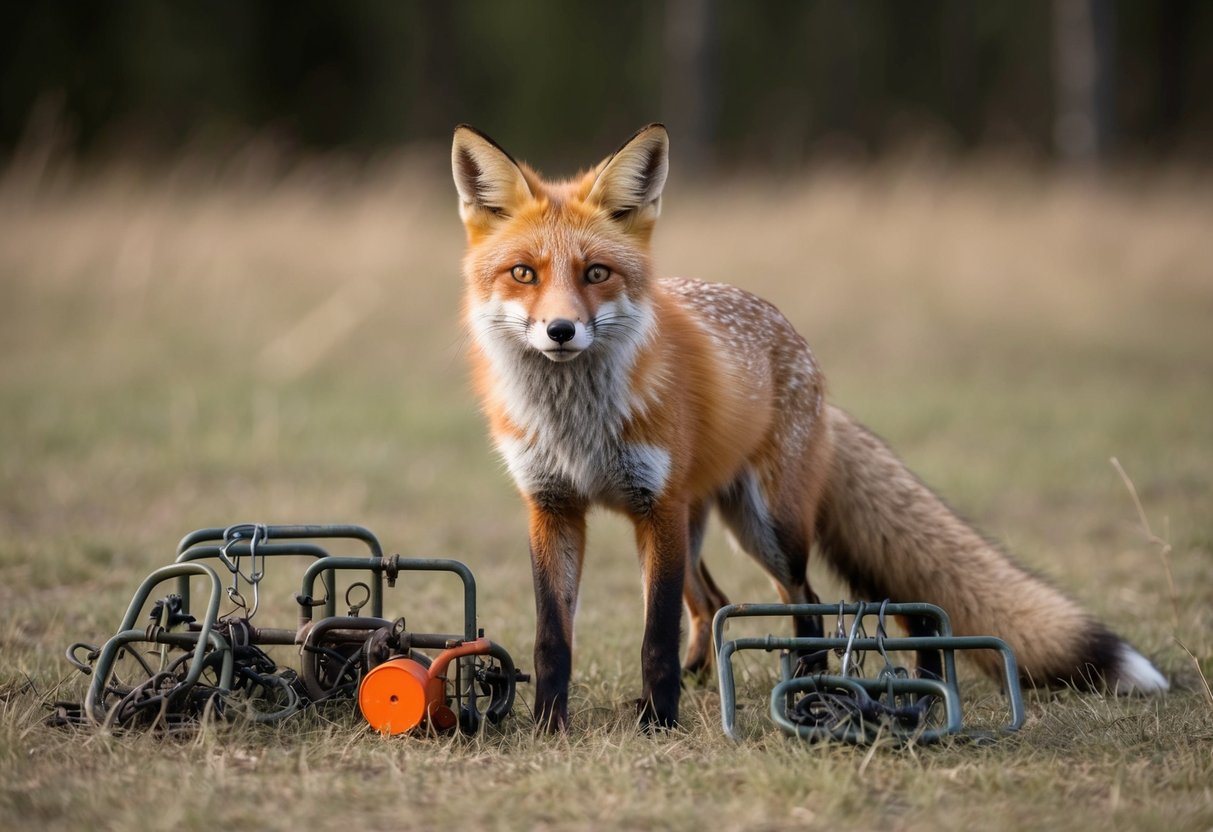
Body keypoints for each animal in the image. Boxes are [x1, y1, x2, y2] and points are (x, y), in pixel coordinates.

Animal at [449, 122, 1169, 730]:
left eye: (596, 273)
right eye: (523, 273)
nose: (560, 330)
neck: (577, 425)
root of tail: (805, 355)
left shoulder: (658, 507)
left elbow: (653, 638)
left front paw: (657, 723)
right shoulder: (554, 507)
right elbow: (553, 638)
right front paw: (549, 724)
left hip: (762, 527)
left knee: (806, 601)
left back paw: (810, 689)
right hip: (686, 525)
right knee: (709, 602)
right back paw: (708, 678)